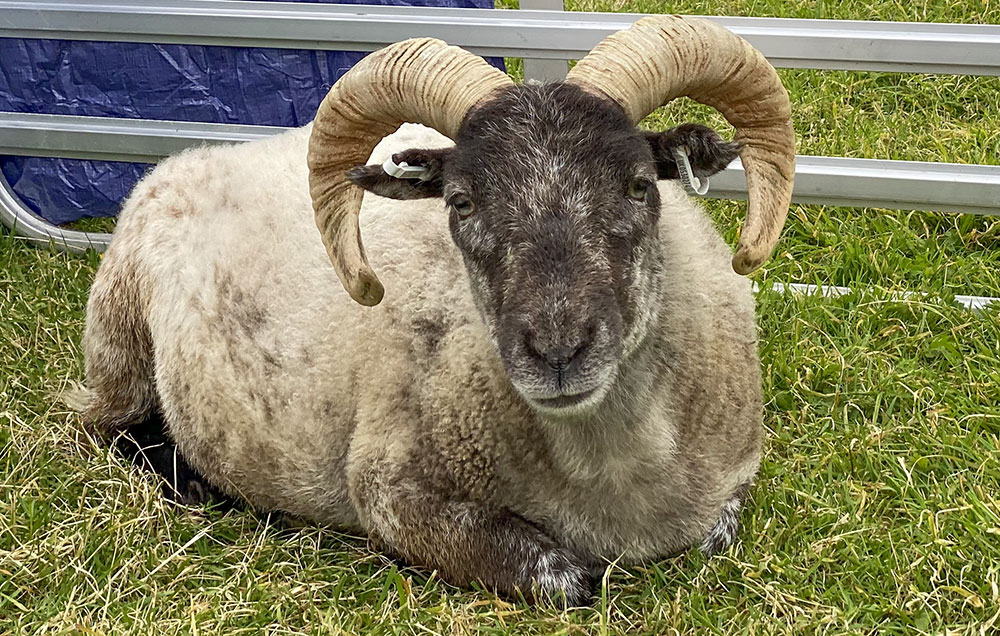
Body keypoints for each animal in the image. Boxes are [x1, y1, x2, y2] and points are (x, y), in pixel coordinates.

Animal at [81, 15, 795, 605]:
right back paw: (192, 481)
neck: (616, 473)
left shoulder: (735, 480)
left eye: (640, 185)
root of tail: (196, 154)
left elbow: (718, 533)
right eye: (460, 201)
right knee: (105, 428)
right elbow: (569, 579)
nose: (559, 350)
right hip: (118, 345)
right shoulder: (390, 494)